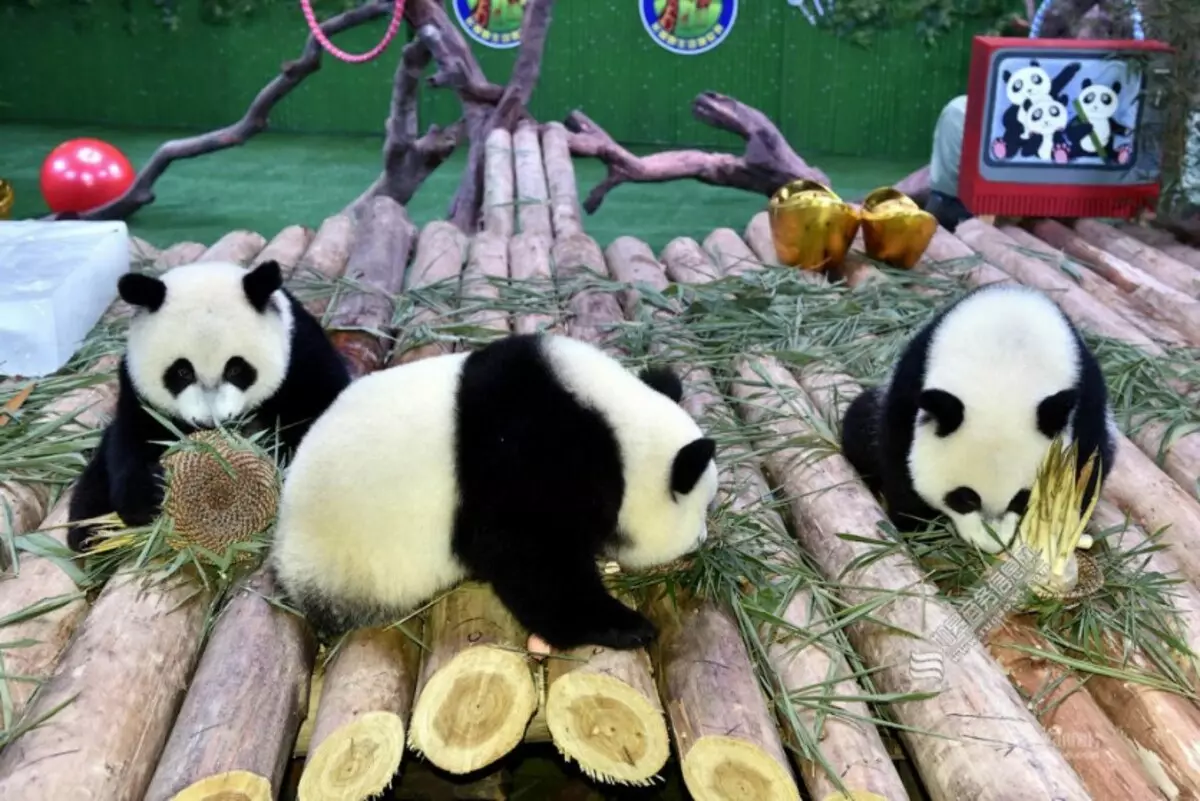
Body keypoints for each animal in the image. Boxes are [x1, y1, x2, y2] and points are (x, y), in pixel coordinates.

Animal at [66, 260, 350, 553]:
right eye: (182, 372)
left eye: (236, 369)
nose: (212, 421)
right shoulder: (136, 390)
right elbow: (133, 437)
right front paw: (145, 499)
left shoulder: (302, 360)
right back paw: (88, 536)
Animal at [271, 330, 715, 652]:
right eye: (703, 509)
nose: (705, 539)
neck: (619, 439)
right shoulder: (528, 467)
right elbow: (534, 562)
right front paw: (626, 626)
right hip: (349, 562)